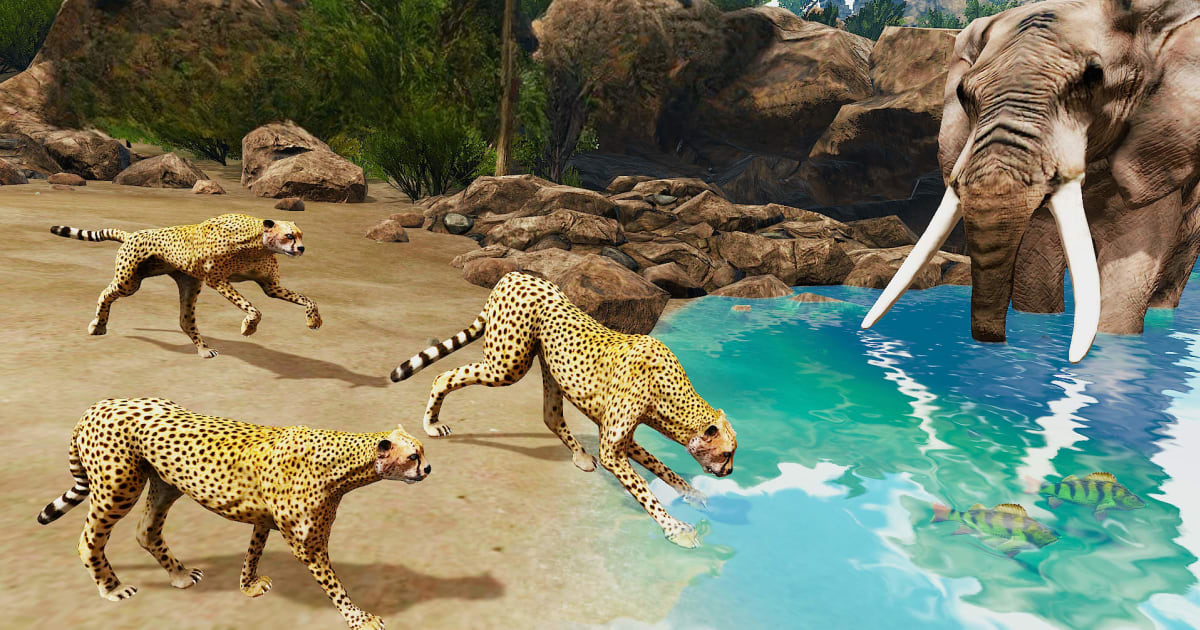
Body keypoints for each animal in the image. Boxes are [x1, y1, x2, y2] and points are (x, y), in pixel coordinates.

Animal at [36, 397, 429, 630]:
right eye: (413, 456)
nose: (427, 470)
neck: (344, 463)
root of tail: (100, 404)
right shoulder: (309, 546)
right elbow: (335, 586)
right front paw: (360, 618)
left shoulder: (264, 518)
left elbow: (253, 553)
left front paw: (249, 586)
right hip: (118, 486)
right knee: (89, 540)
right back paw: (112, 588)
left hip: (166, 482)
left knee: (146, 530)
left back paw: (179, 575)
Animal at [50, 213, 321, 358]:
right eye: (289, 235)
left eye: (301, 235)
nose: (301, 248)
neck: (256, 243)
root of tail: (133, 234)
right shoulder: (217, 280)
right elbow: (253, 308)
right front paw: (249, 327)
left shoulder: (271, 287)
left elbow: (309, 300)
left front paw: (313, 321)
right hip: (129, 282)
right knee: (105, 292)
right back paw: (98, 325)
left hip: (189, 282)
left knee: (185, 320)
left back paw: (203, 350)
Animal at [389, 271, 738, 548]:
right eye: (727, 453)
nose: (730, 472)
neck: (670, 395)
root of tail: (514, 274)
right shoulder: (613, 448)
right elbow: (645, 492)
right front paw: (677, 528)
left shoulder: (623, 439)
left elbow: (662, 467)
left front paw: (693, 493)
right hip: (507, 365)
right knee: (444, 376)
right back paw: (432, 423)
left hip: (548, 365)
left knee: (551, 415)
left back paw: (580, 456)